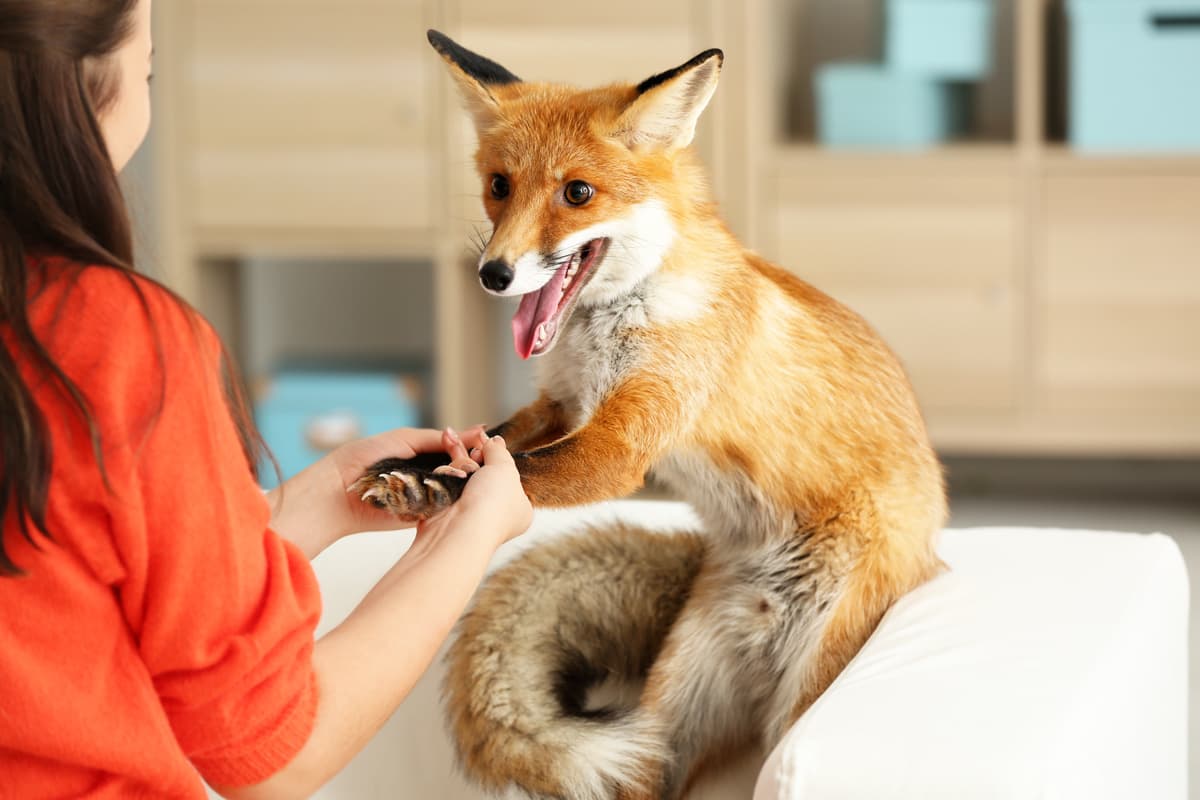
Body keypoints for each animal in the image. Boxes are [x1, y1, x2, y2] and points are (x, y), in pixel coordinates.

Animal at [350, 30, 948, 800]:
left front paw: (439, 490)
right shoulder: (562, 403)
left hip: (809, 685)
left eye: (576, 193)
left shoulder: (623, 441)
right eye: (499, 186)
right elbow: (494, 441)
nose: (493, 275)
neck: (607, 327)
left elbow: (508, 471)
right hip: (667, 716)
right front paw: (411, 470)